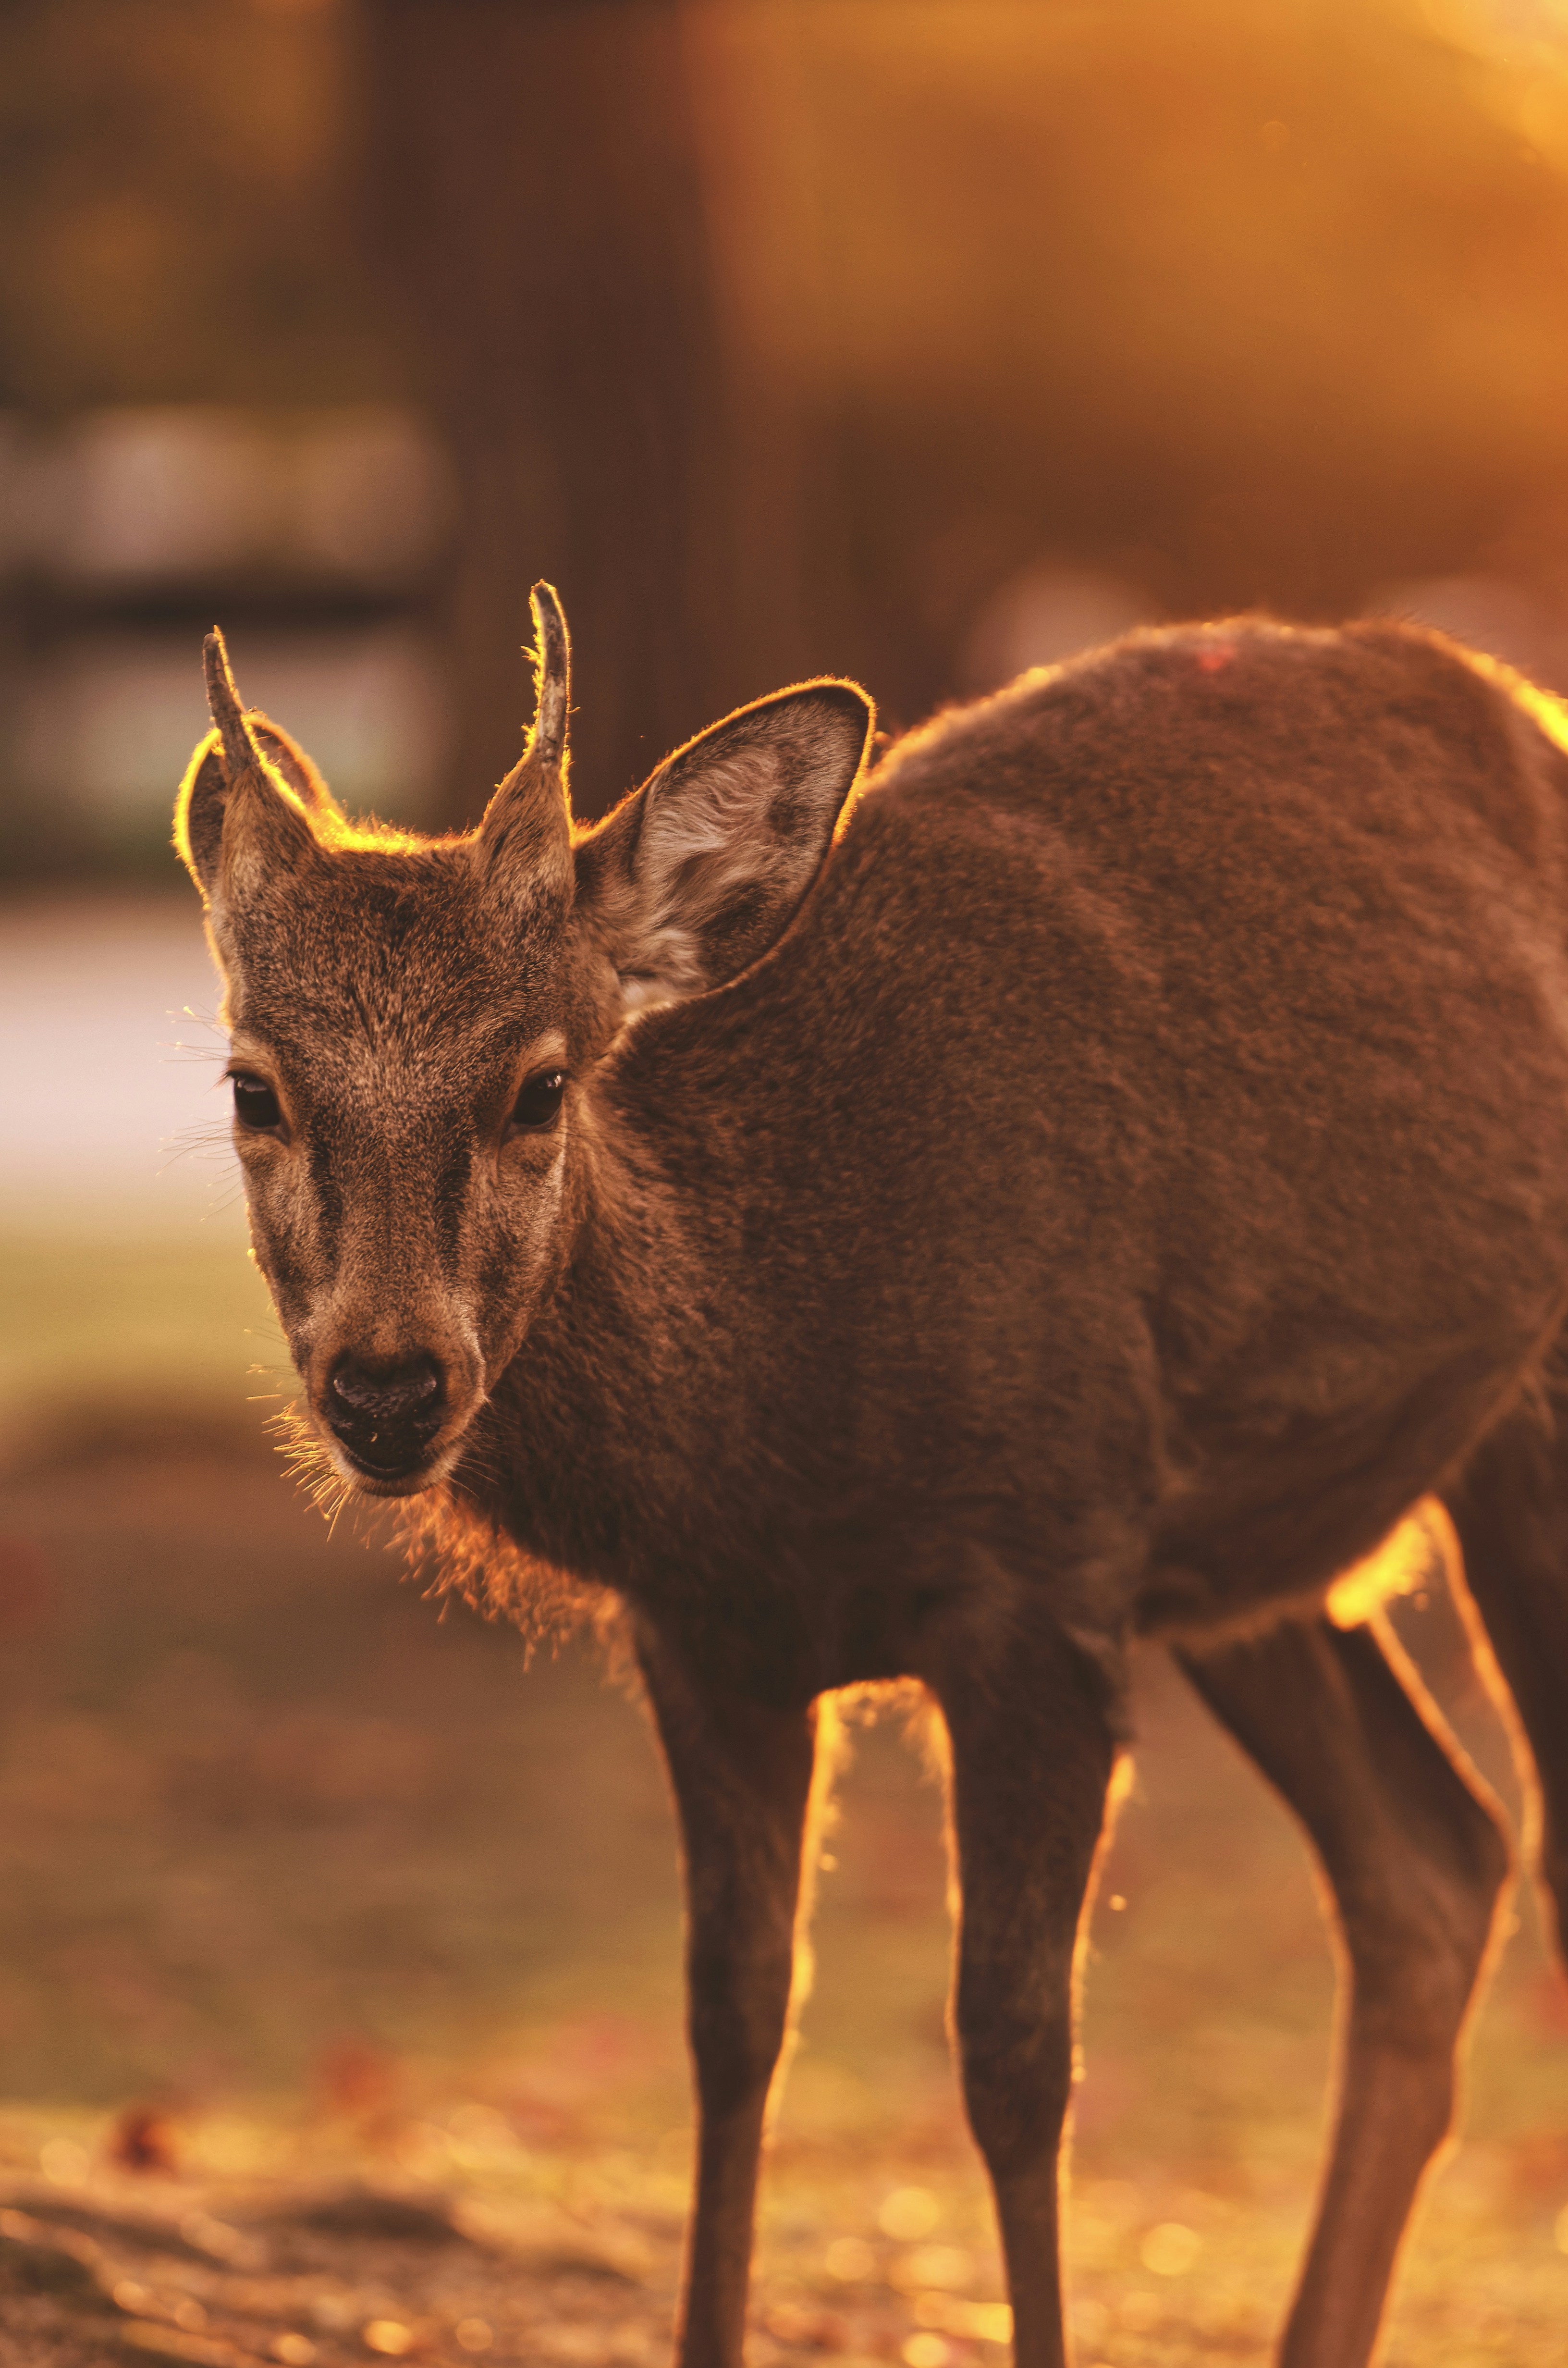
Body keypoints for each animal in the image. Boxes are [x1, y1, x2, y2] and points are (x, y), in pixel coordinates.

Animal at [174, 585, 1568, 2368]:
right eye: (255, 1085)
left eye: (541, 1081)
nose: (389, 1381)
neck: (779, 1445)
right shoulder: (711, 1644)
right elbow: (733, 2020)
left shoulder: (1040, 1576)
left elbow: (1014, 2056)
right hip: (1240, 1555)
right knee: (1431, 1860)